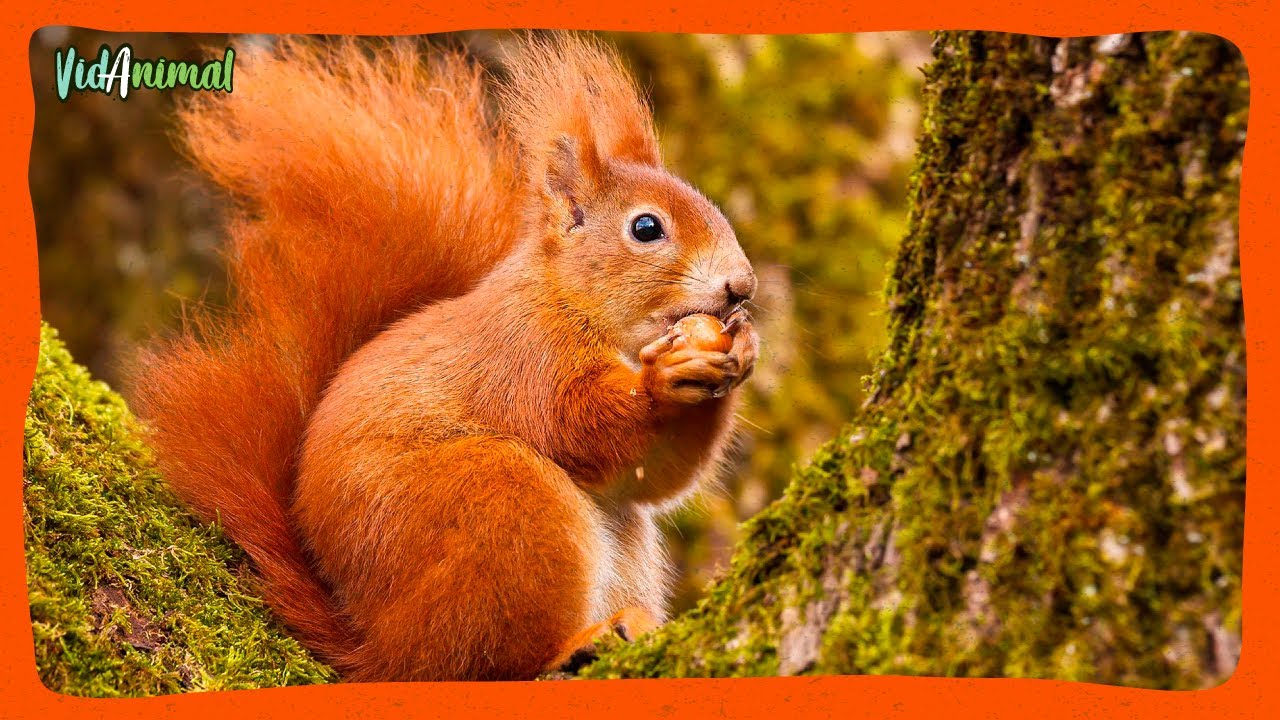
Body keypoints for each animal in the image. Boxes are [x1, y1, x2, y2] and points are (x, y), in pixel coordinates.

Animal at [129, 33, 758, 682]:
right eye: (646, 228)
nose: (742, 286)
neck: (574, 301)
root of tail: (375, 648)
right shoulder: (522, 353)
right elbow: (575, 422)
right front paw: (661, 380)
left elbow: (654, 477)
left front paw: (738, 352)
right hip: (500, 504)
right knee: (483, 660)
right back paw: (577, 643)